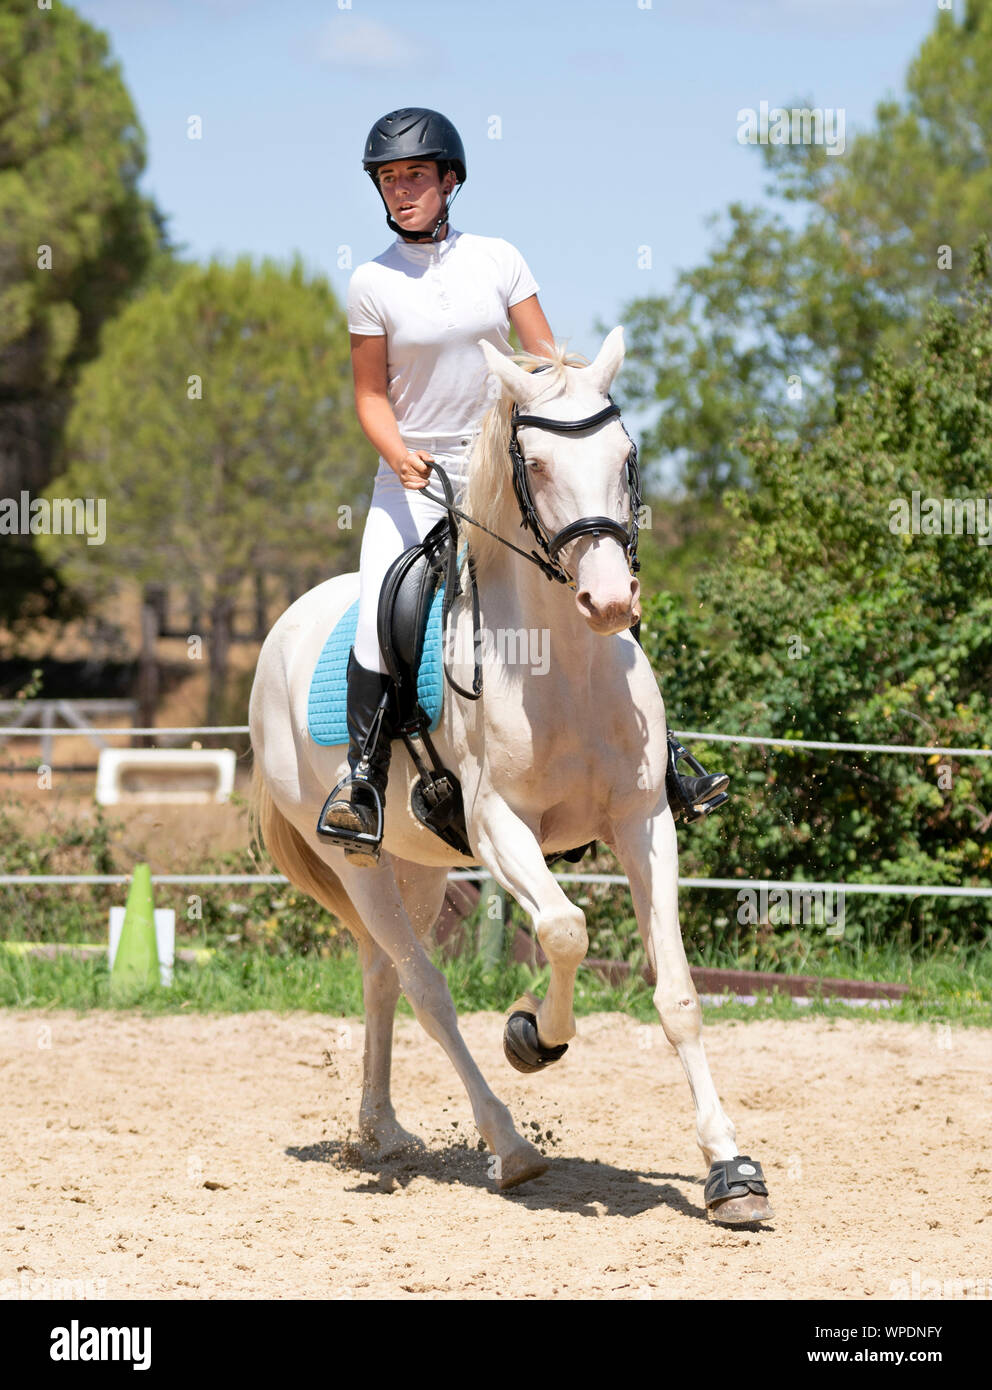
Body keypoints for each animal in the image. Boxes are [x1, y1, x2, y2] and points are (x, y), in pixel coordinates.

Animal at [248, 326, 773, 1222]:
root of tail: (284, 626)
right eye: (538, 465)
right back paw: (510, 1144)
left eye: (627, 456)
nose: (610, 601)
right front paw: (533, 1037)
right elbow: (564, 930)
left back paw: (382, 1133)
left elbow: (676, 991)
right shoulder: (499, 829)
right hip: (356, 863)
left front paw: (730, 1170)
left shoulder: (645, 820)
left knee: (383, 977)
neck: (563, 663)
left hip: (416, 866)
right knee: (426, 990)